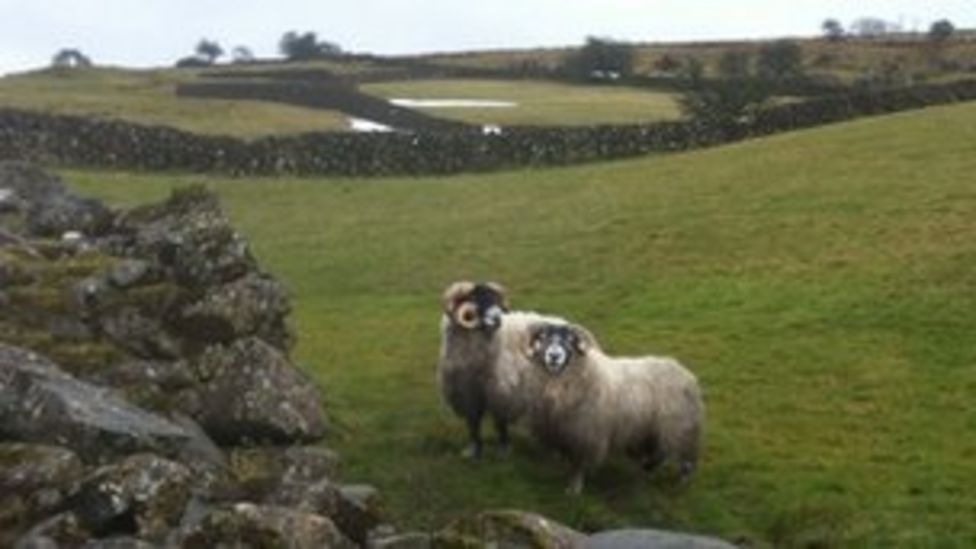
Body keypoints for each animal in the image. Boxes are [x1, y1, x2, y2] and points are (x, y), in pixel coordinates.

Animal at [437, 281, 565, 459]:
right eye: (476, 298)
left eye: (496, 301)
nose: (497, 319)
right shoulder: (469, 393)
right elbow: (473, 424)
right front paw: (474, 450)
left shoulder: (500, 392)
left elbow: (500, 423)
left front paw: (504, 449)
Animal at [522, 322, 703, 494]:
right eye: (543, 337)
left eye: (570, 340)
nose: (554, 356)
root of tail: (686, 374)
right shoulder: (562, 431)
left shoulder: (585, 434)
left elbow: (578, 464)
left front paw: (574, 488)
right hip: (653, 427)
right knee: (660, 453)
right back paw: (647, 468)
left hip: (678, 428)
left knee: (683, 458)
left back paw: (681, 483)